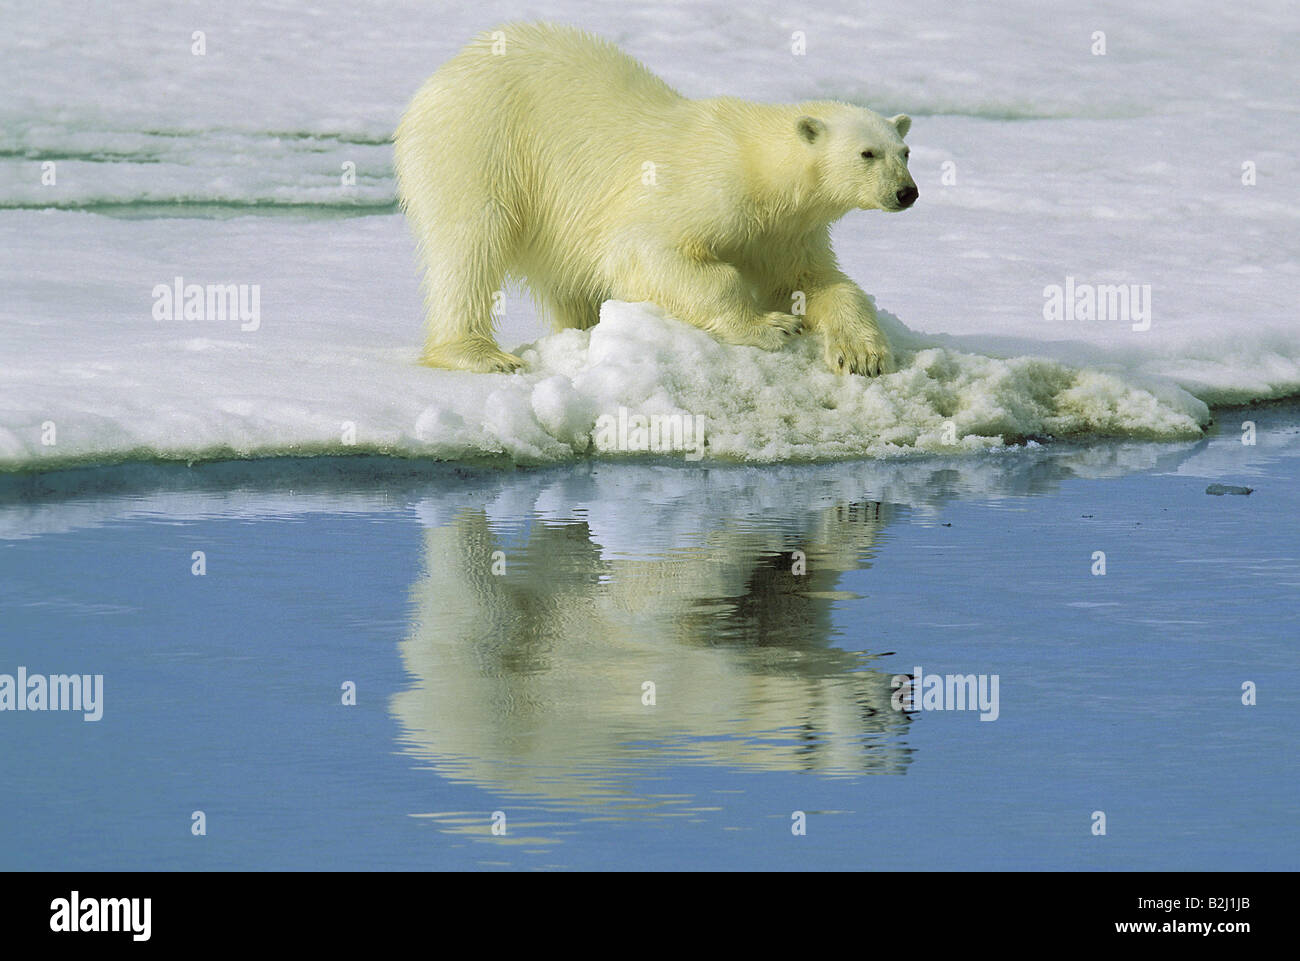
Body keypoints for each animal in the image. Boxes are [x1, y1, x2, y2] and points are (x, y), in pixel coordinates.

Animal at [394, 22, 917, 377]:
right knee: (471, 241)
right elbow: (649, 252)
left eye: (905, 151)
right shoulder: (708, 189)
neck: (761, 167)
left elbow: (815, 281)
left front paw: (863, 353)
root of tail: (445, 72)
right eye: (867, 153)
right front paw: (772, 327)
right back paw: (481, 354)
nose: (906, 192)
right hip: (480, 141)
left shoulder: (785, 230)